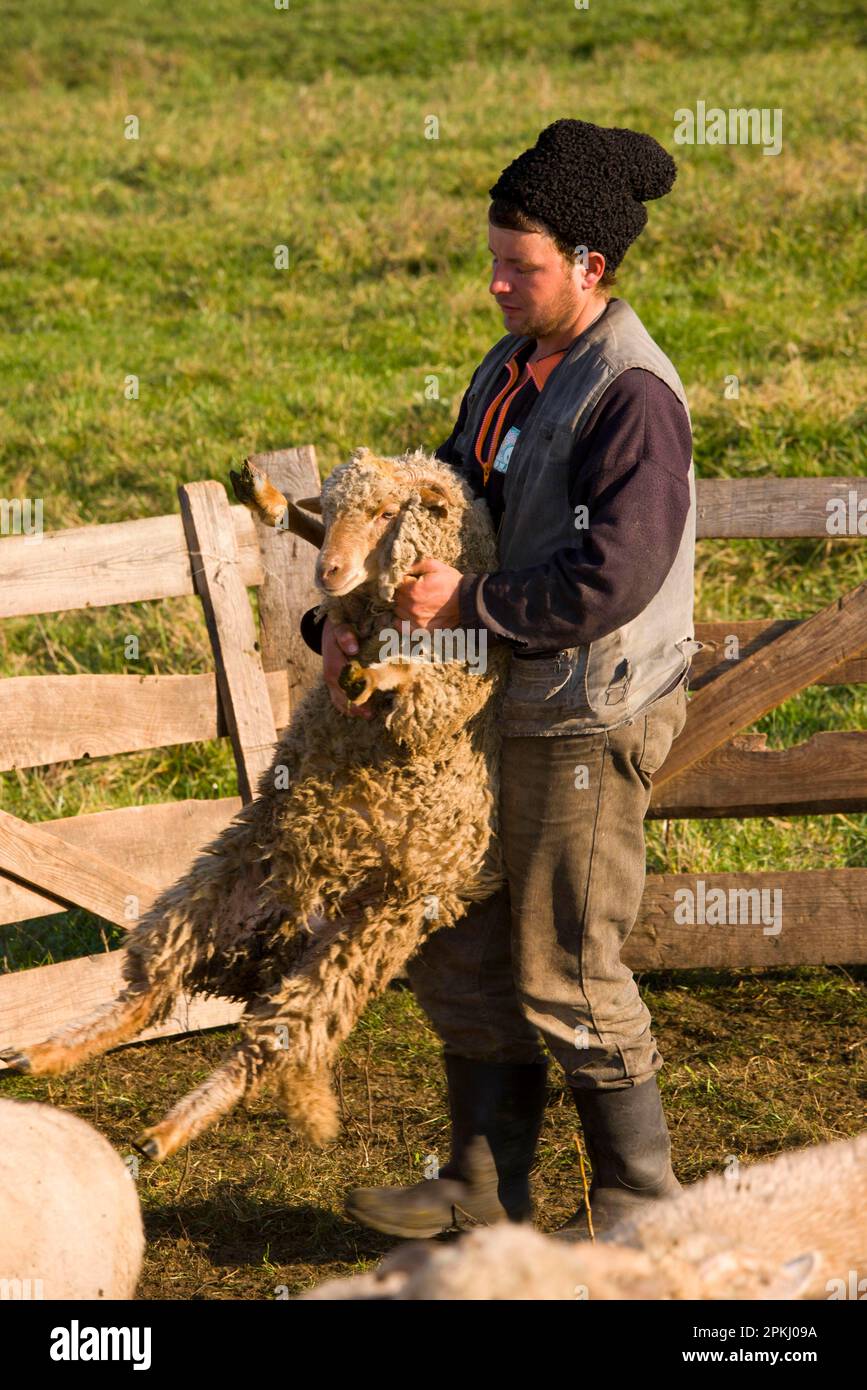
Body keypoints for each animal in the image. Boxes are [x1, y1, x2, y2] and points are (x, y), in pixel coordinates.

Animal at [1, 447, 508, 1163]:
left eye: (389, 511)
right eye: (336, 504)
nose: (329, 572)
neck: (379, 607)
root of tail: (304, 922)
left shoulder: (457, 684)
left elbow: (418, 682)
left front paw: (377, 673)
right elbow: (303, 530)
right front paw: (266, 499)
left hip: (362, 946)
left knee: (261, 1050)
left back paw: (164, 1131)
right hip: (205, 895)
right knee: (151, 992)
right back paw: (46, 1058)